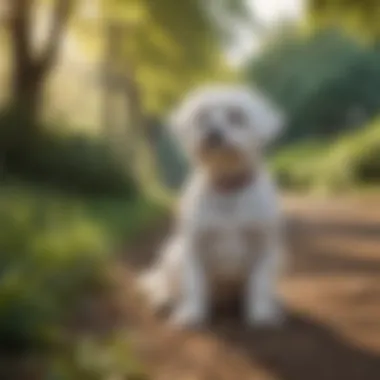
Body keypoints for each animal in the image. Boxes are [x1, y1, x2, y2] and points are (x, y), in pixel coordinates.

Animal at [139, 84, 284, 328]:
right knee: (164, 285)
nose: (214, 133)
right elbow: (195, 284)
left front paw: (261, 313)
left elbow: (260, 282)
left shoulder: (263, 247)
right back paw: (164, 300)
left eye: (236, 117)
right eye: (202, 117)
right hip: (172, 254)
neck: (227, 188)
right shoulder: (195, 245)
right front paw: (191, 314)